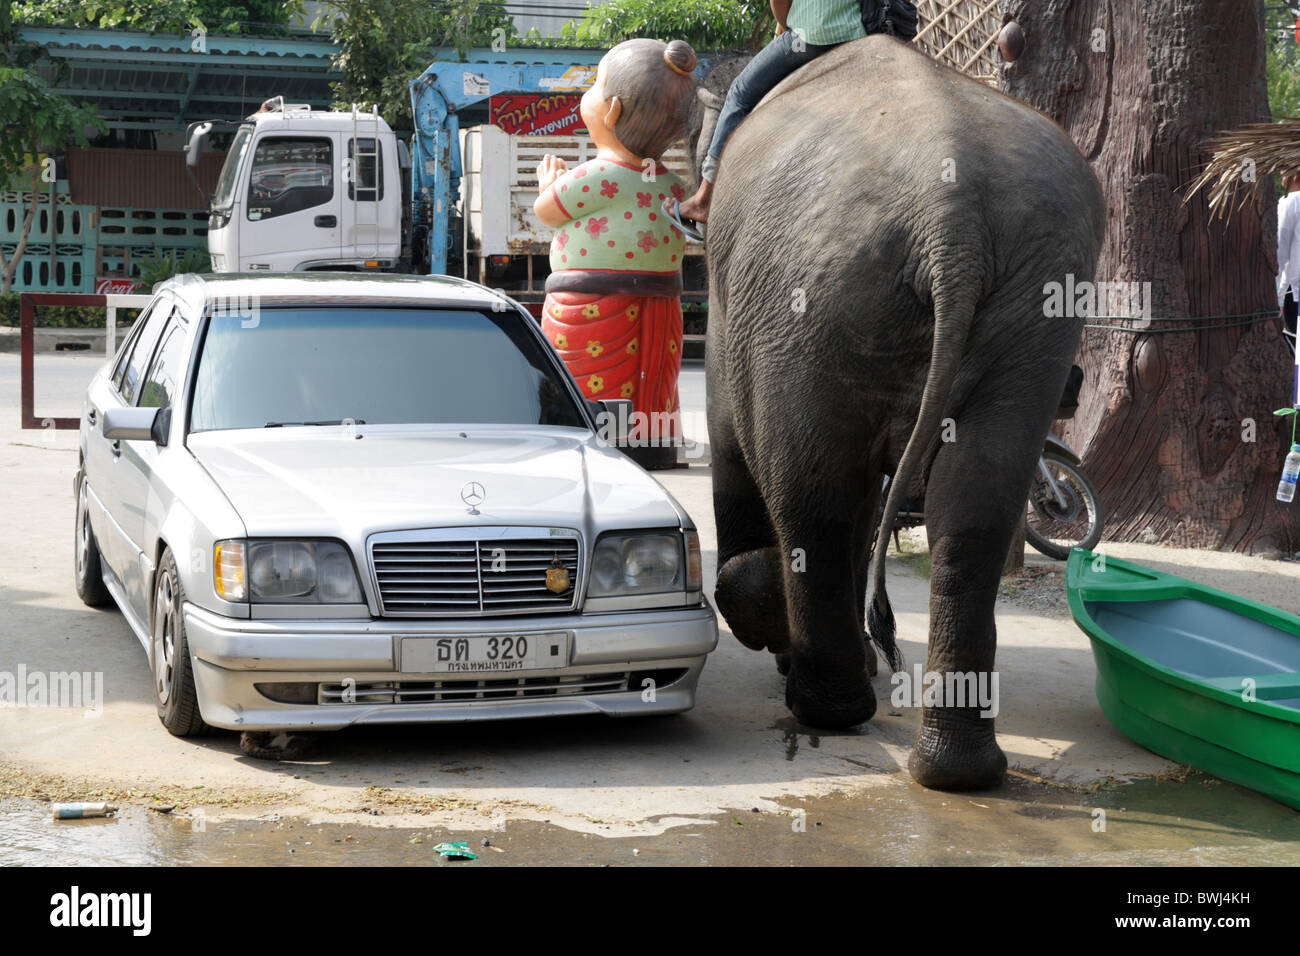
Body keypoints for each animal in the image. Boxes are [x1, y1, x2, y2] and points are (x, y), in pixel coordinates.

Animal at [699, 34, 1105, 790]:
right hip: (1035, 310)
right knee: (972, 506)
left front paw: (773, 633)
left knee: (814, 500)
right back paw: (956, 770)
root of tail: (951, 215)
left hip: (807, 299)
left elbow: (739, 455)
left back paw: (828, 708)